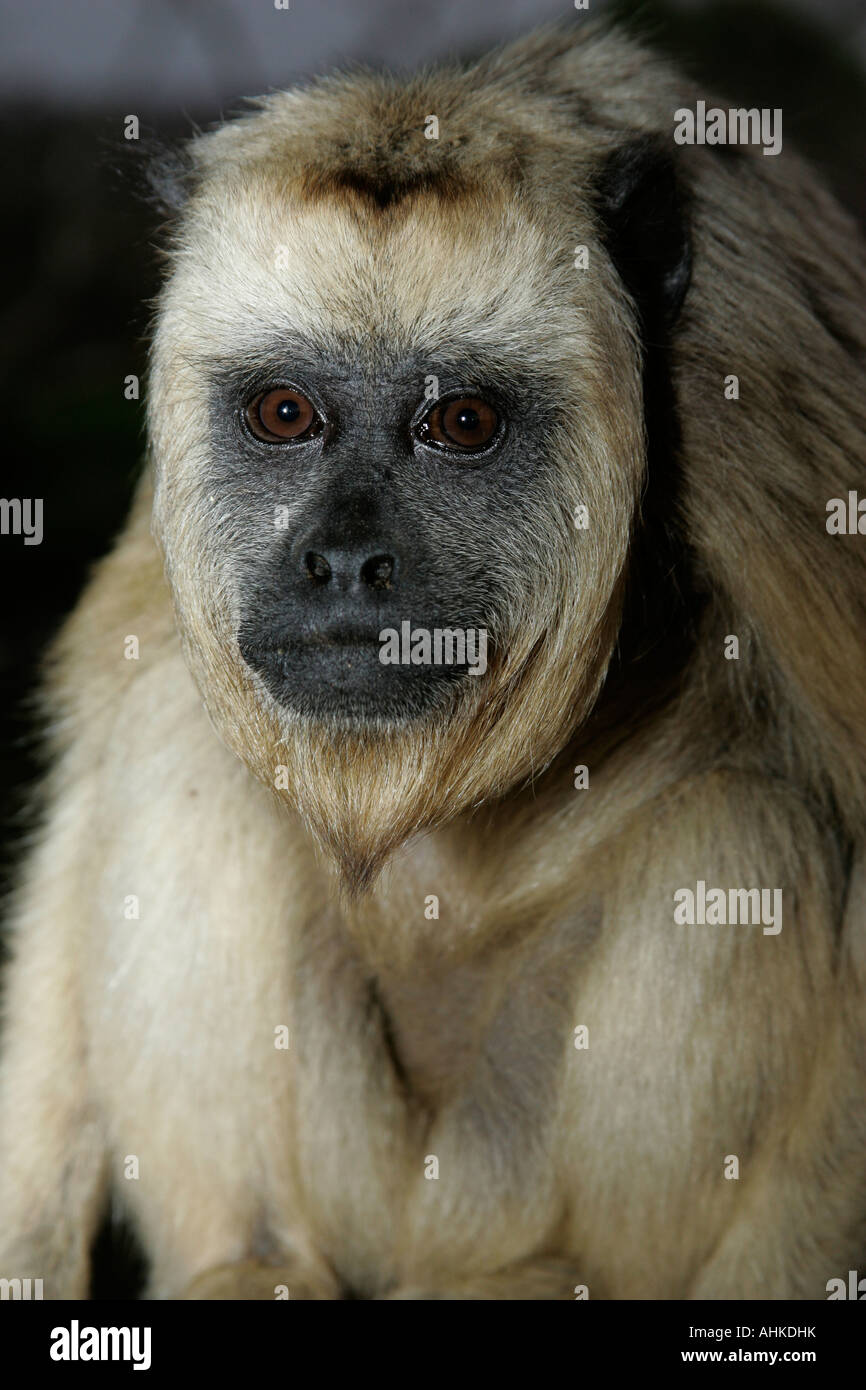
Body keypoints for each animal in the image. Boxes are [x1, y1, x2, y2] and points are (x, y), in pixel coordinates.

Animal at [1, 19, 866, 1301]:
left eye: (459, 422)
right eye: (284, 413)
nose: (346, 562)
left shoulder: (760, 387)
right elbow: (100, 749)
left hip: (478, 1193)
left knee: (739, 833)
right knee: (169, 728)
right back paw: (249, 1261)